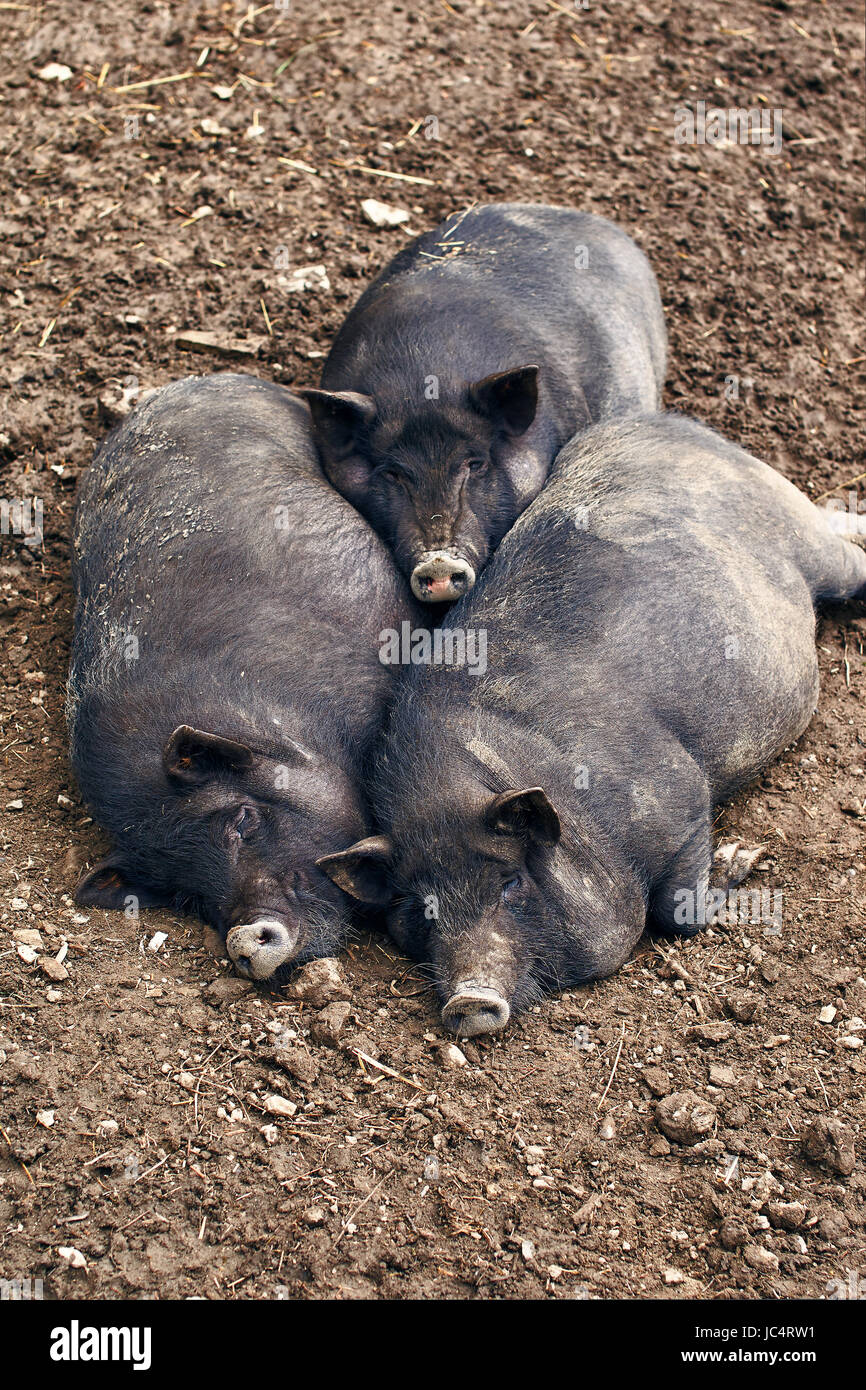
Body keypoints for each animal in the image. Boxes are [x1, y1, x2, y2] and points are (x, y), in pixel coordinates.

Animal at [317, 413, 866, 1035]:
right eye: (420, 908)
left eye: (510, 883)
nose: (468, 1000)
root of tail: (667, 423)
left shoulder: (682, 795)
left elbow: (679, 908)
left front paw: (744, 857)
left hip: (813, 549)